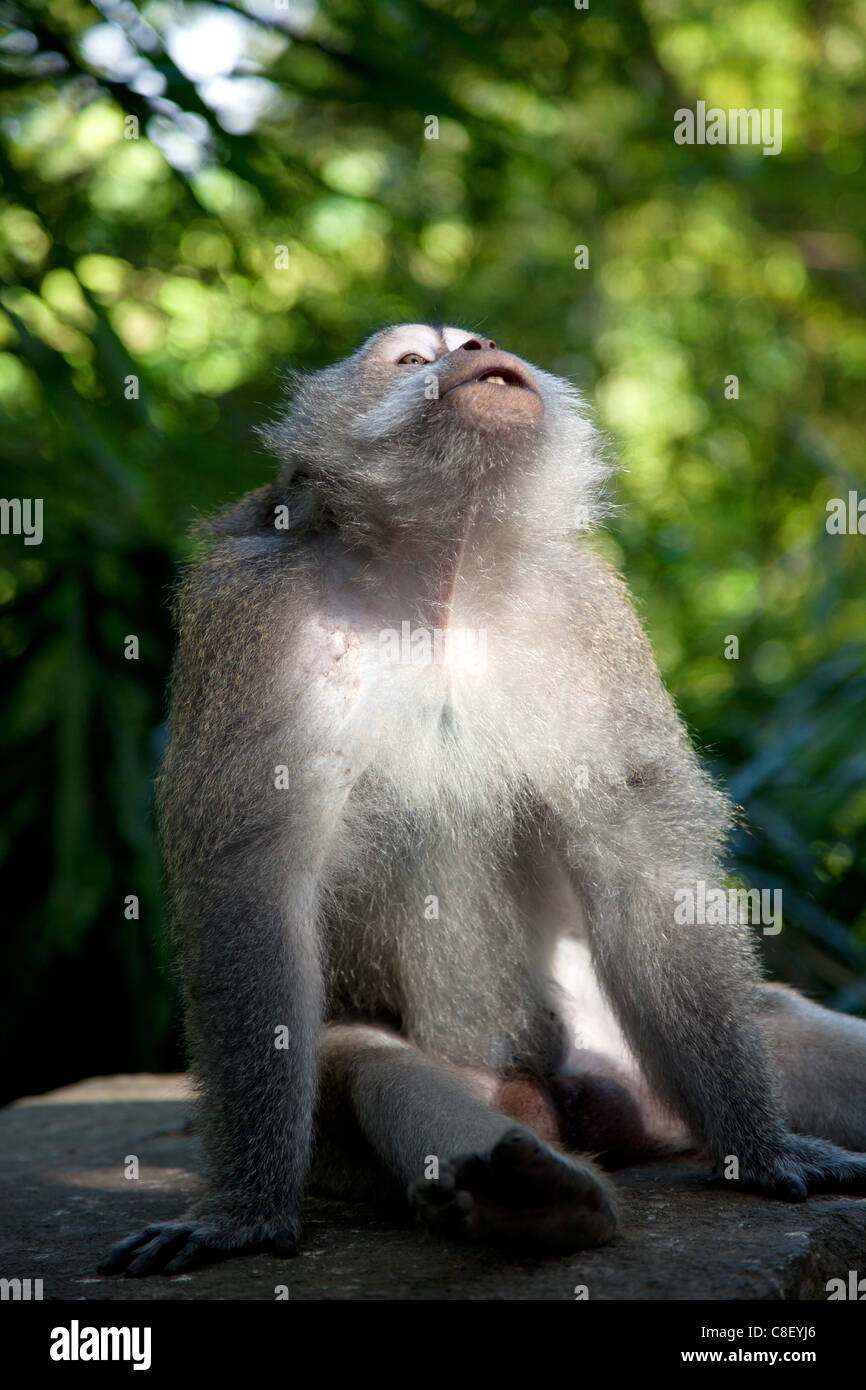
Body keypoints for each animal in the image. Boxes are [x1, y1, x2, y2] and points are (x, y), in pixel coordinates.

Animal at [100, 323, 866, 1276]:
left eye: (474, 340)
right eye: (409, 359)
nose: (472, 344)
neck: (443, 586)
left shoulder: (588, 616)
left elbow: (643, 878)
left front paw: (763, 1150)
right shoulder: (254, 620)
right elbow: (253, 898)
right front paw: (242, 1213)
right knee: (368, 1064)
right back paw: (535, 1199)